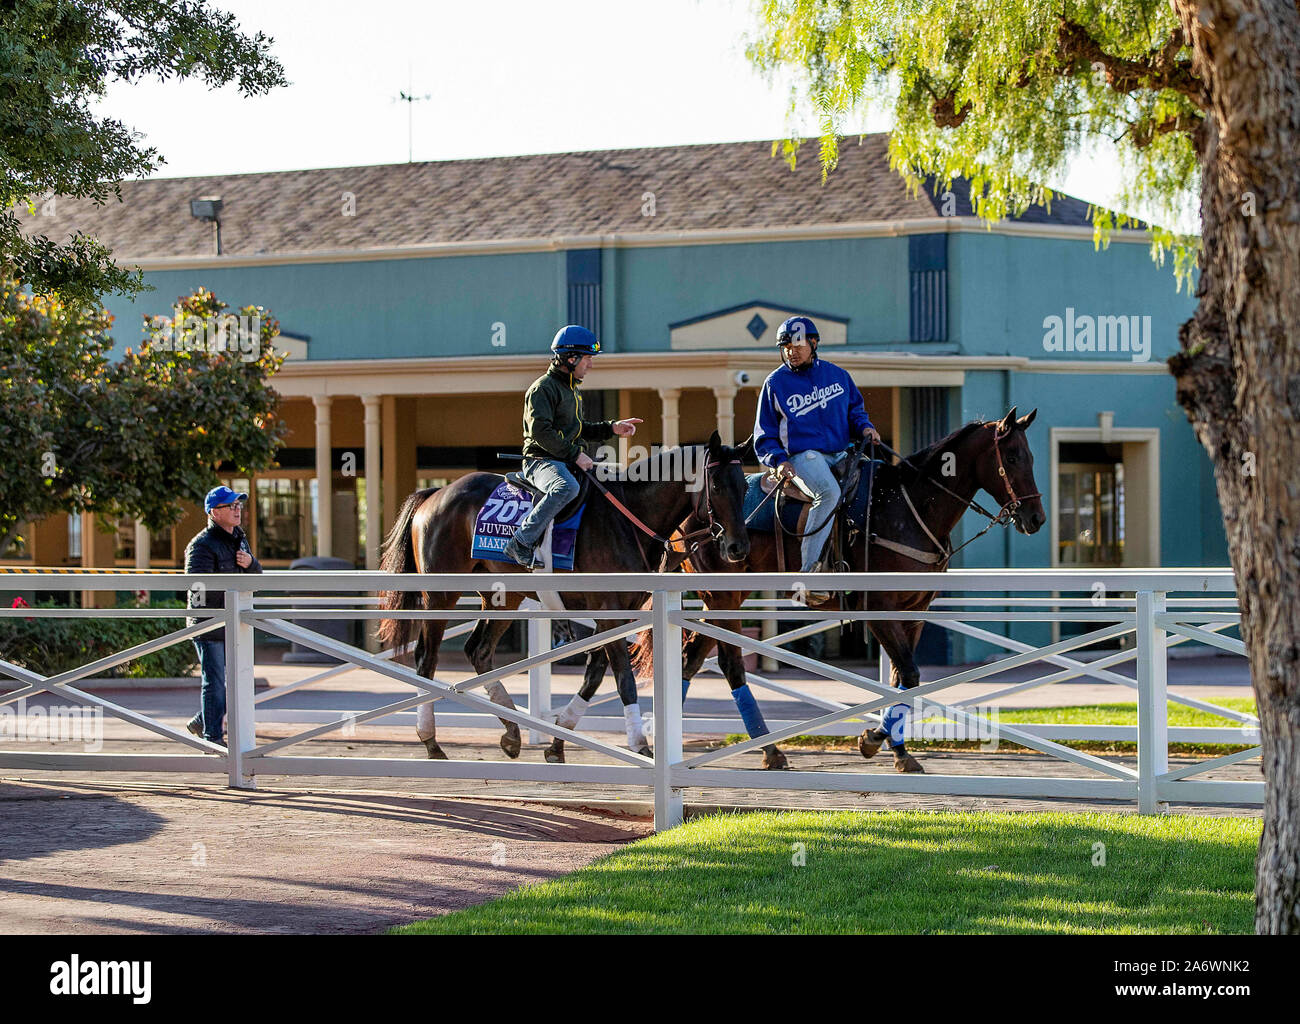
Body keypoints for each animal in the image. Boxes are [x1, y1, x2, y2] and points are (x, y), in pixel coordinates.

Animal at [377, 431, 751, 761]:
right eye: (717, 485)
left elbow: (594, 674)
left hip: (504, 597)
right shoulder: (609, 610)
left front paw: (558, 743)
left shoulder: (619, 613)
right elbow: (623, 679)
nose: (737, 547)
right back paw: (431, 741)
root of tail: (435, 493)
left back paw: (512, 733)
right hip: (440, 593)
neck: (627, 519)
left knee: (478, 650)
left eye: (745, 485)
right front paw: (640, 744)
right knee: (426, 660)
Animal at [631, 407, 1046, 773]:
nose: (1036, 518)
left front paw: (898, 751)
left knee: (690, 659)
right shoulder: (878, 608)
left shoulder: (915, 610)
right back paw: (769, 751)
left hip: (718, 599)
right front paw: (874, 739)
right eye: (1012, 456)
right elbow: (909, 674)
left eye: (1031, 456)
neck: (909, 508)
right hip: (724, 598)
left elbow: (900, 680)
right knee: (731, 665)